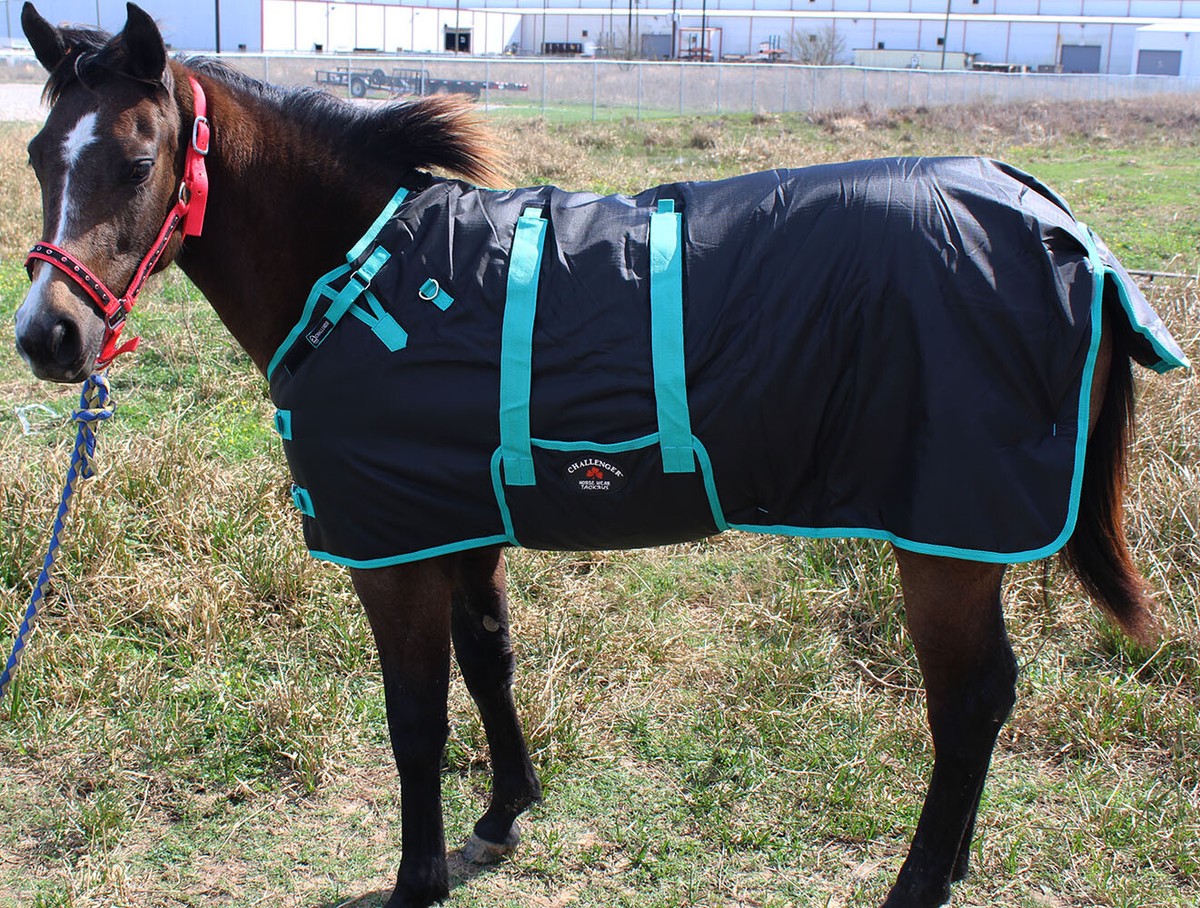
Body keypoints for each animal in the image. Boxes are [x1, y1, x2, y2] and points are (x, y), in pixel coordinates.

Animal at [13, 4, 1189, 907]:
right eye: (36, 155)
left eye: (137, 159)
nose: (47, 336)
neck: (366, 273)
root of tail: (1060, 225)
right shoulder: (458, 524)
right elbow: (488, 663)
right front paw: (503, 812)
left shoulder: (393, 553)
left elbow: (414, 717)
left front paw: (416, 879)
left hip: (945, 541)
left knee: (971, 700)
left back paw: (919, 880)